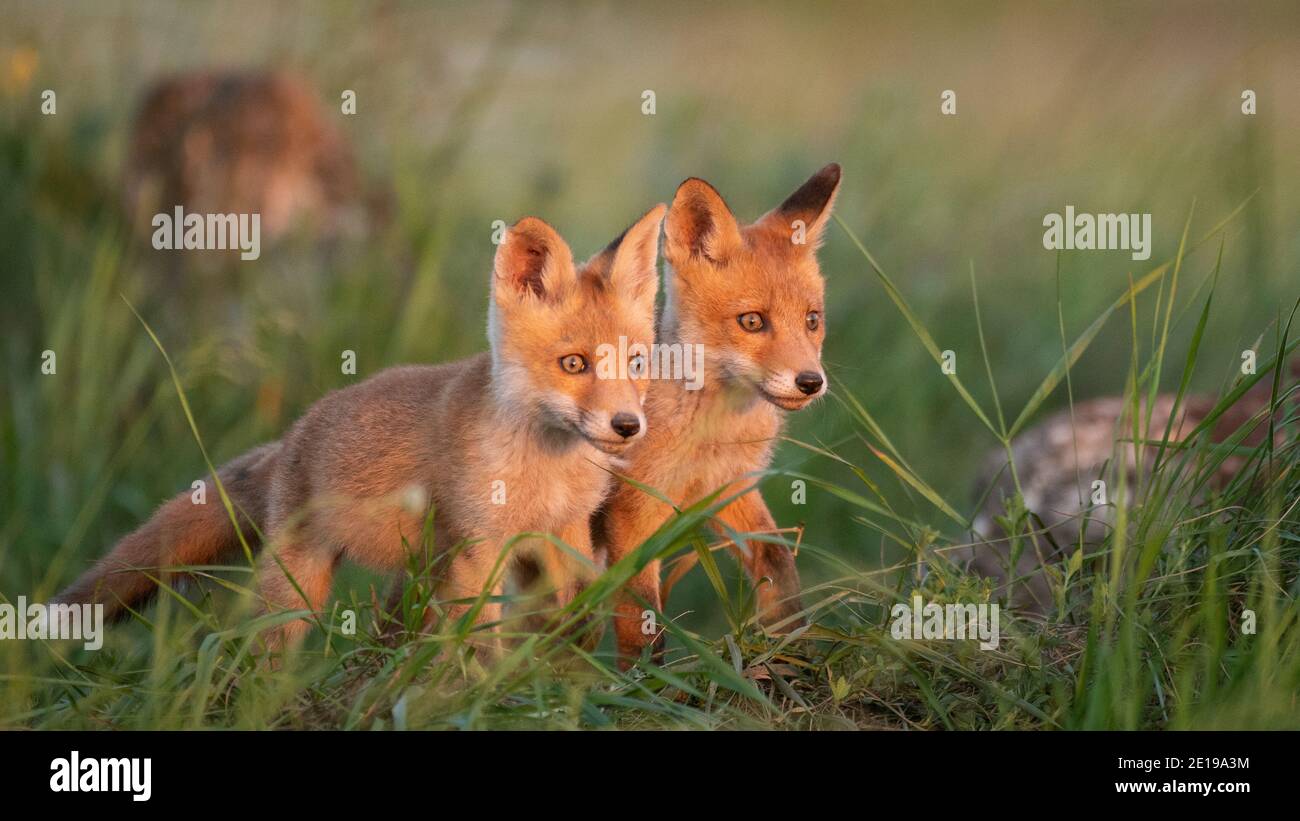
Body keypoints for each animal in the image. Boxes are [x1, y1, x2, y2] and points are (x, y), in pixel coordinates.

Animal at [55, 206, 666, 655]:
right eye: (573, 364)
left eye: (635, 362)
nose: (627, 426)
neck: (548, 473)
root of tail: (293, 435)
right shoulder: (479, 548)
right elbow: (480, 642)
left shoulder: (566, 535)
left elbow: (577, 626)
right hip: (299, 590)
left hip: (416, 577)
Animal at [596, 164, 842, 666]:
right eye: (752, 321)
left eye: (812, 320)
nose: (811, 382)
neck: (711, 435)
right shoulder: (633, 512)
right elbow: (641, 622)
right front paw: (645, 679)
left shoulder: (729, 489)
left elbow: (778, 561)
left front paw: (791, 644)